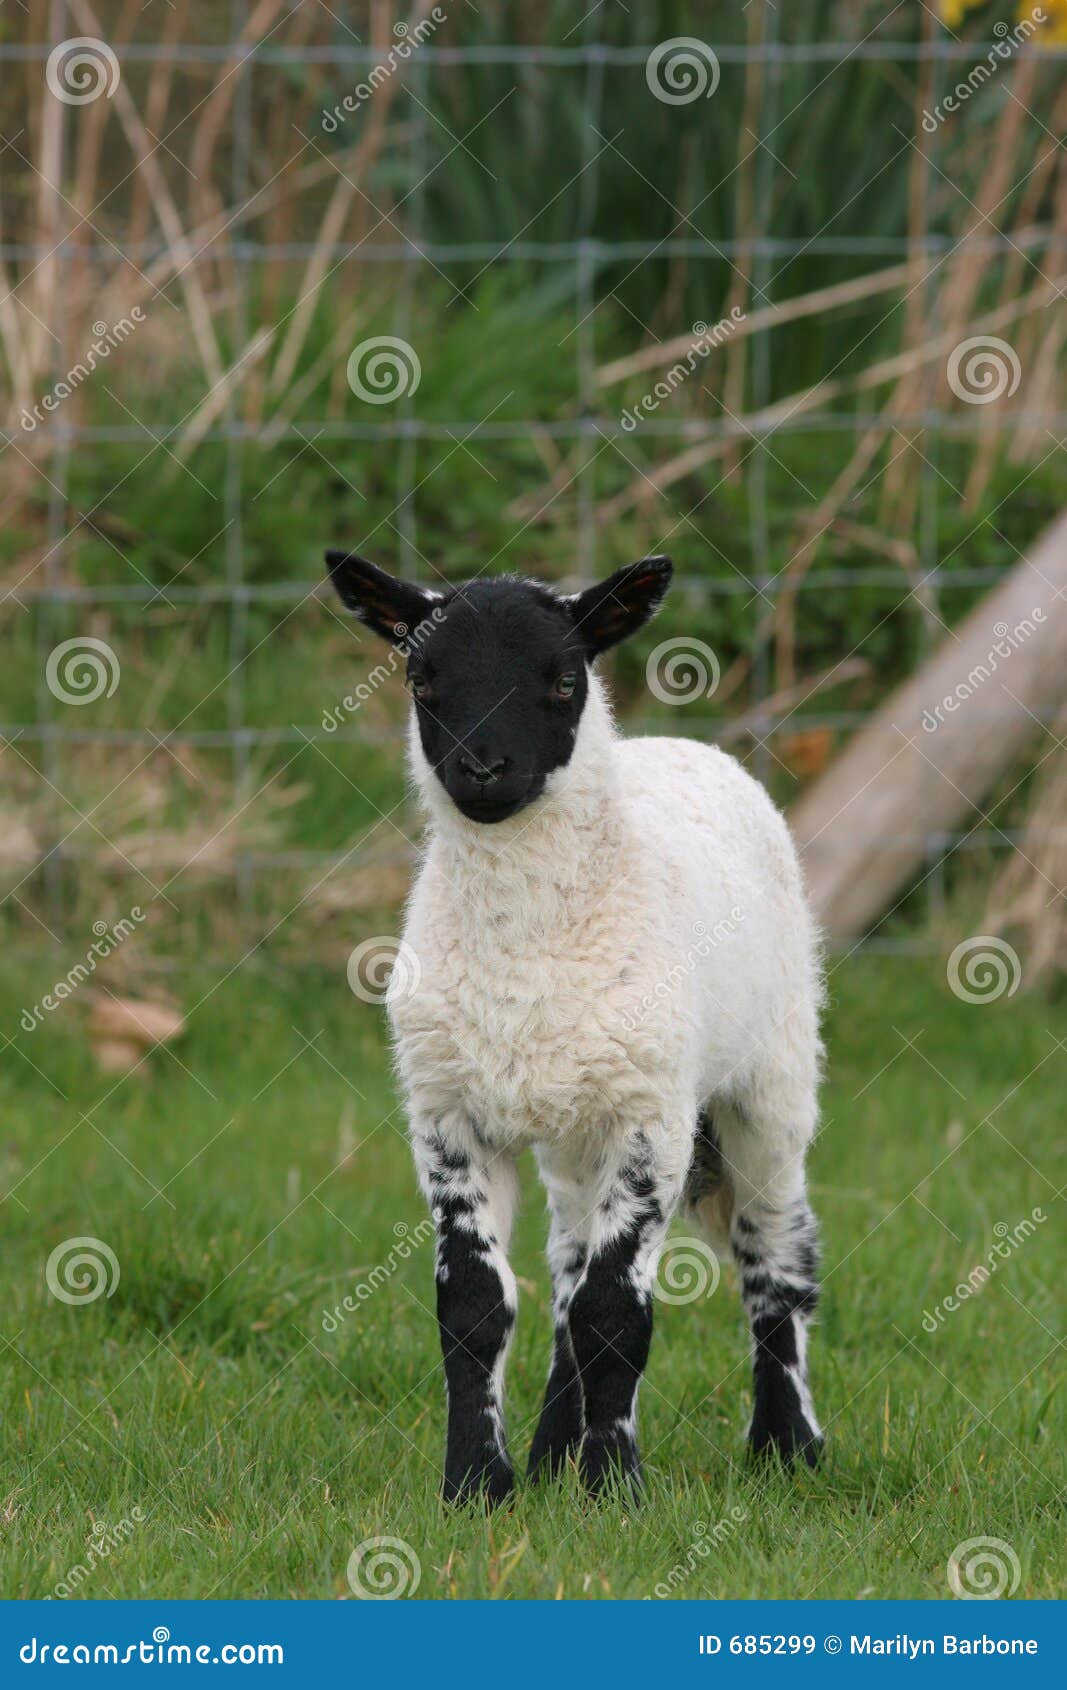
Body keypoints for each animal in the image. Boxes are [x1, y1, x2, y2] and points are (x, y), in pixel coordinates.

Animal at [327, 548, 825, 1504]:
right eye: (421, 677)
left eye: (562, 679)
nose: (483, 768)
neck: (527, 946)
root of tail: (682, 747)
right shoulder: (446, 1113)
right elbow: (476, 1309)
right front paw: (478, 1484)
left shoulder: (650, 1116)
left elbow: (614, 1314)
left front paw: (615, 1487)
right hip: (573, 1122)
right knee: (566, 1261)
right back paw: (556, 1445)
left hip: (770, 1078)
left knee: (776, 1250)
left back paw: (789, 1445)